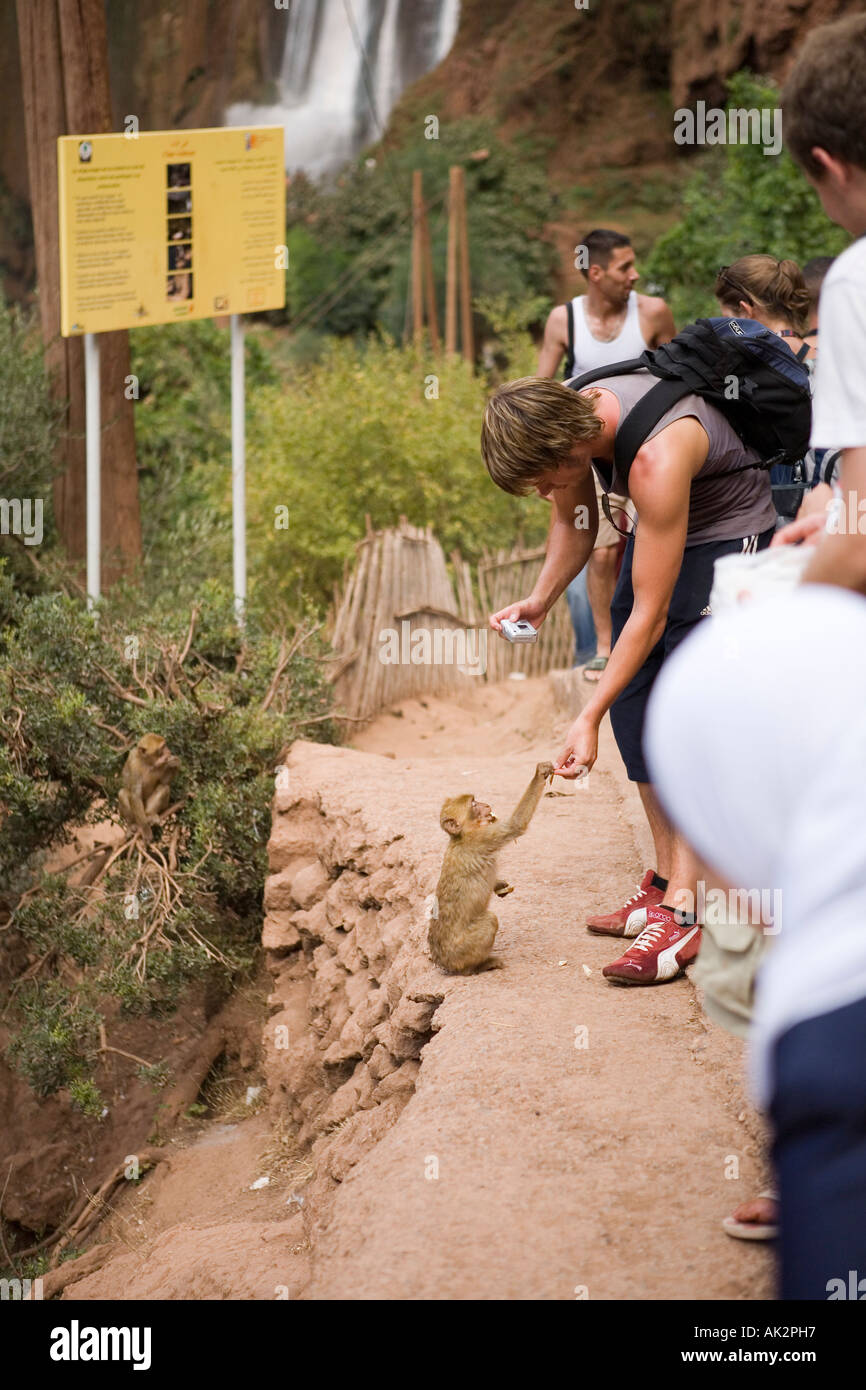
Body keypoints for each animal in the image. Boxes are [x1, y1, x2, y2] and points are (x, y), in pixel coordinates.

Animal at [428, 761, 554, 974]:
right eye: (473, 804)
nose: (486, 805)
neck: (463, 835)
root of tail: (442, 961)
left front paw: (500, 886)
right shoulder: (483, 838)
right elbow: (515, 825)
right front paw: (539, 774)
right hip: (461, 950)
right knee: (490, 921)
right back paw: (478, 966)